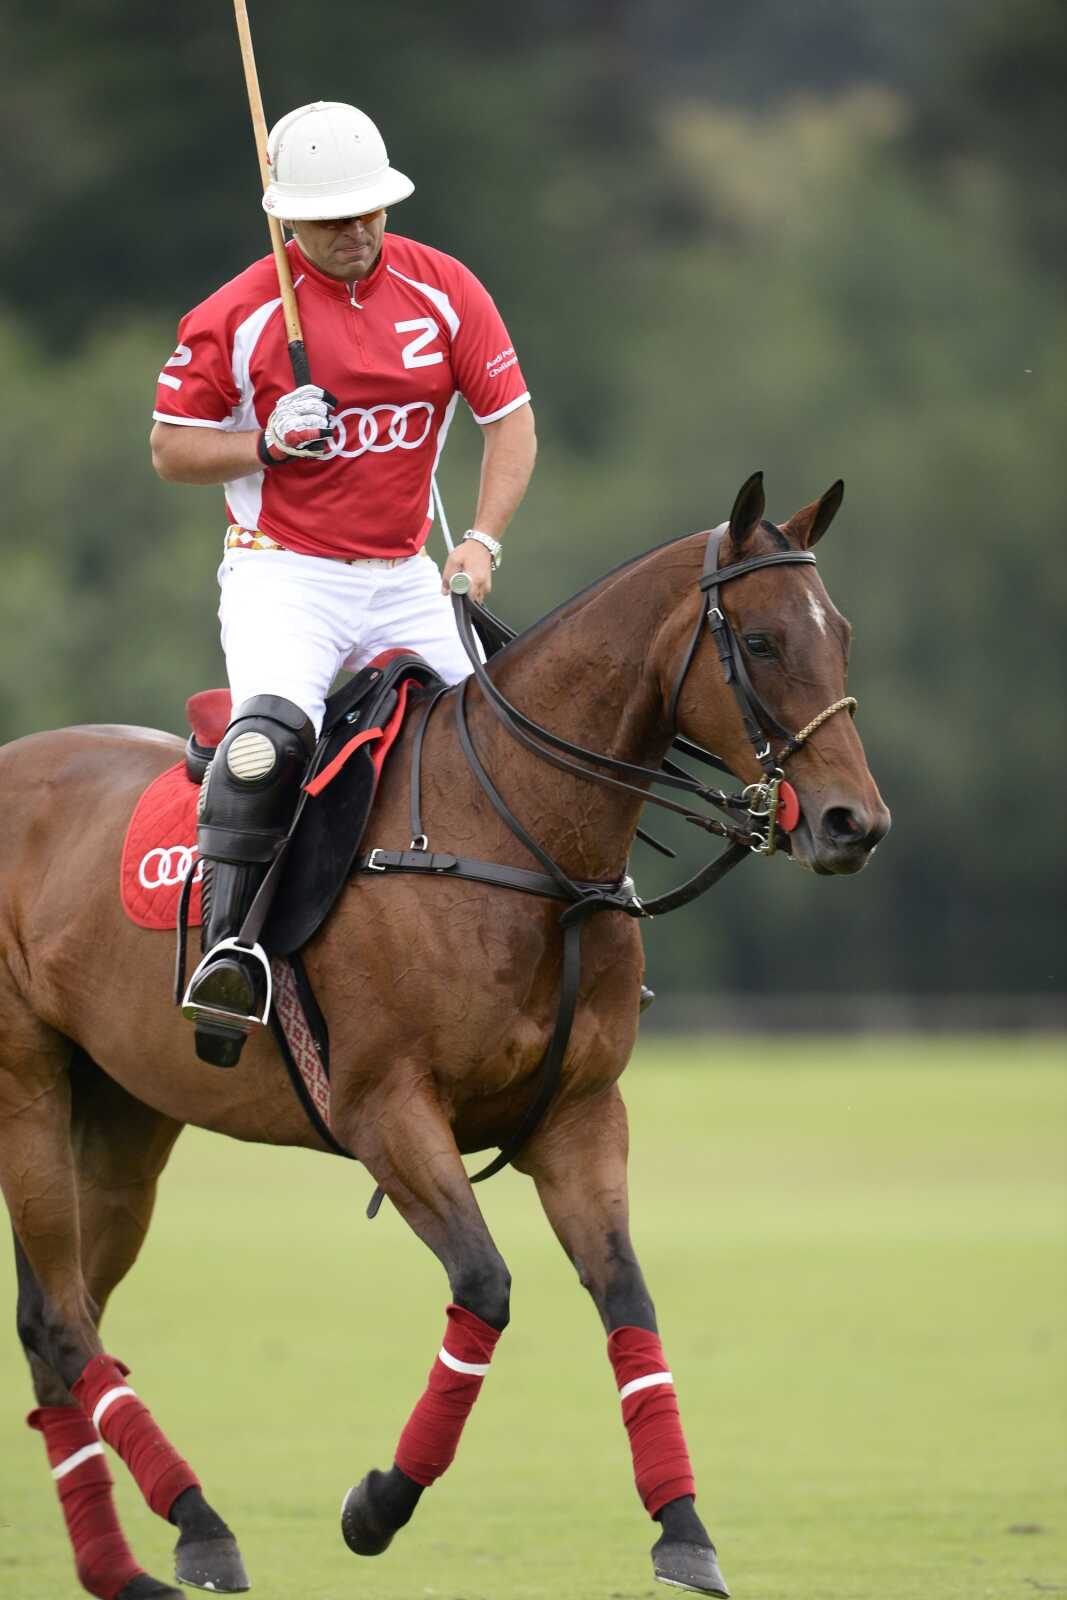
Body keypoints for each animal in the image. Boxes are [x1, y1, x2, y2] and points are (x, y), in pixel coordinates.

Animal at [0, 472, 889, 1600]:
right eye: (765, 641)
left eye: (841, 634)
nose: (853, 824)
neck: (519, 835)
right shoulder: (387, 1108)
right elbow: (484, 1285)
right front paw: (377, 1505)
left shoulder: (578, 1116)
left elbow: (625, 1294)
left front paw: (683, 1527)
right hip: (25, 1083)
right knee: (64, 1319)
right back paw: (200, 1522)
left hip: (122, 1111)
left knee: (55, 1320)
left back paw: (128, 1562)